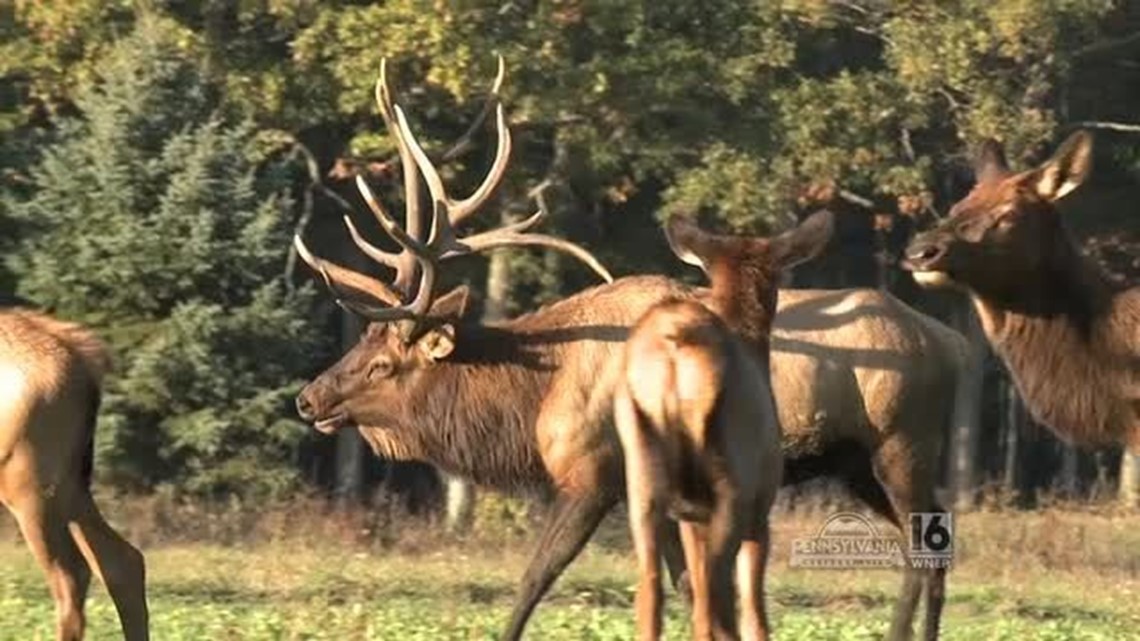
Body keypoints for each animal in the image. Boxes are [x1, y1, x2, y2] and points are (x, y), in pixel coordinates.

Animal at [616, 211, 832, 641]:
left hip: (643, 475)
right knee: (714, 604)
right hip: (732, 480)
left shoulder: (690, 515)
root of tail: (675, 346)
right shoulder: (760, 506)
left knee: (653, 590)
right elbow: (752, 609)